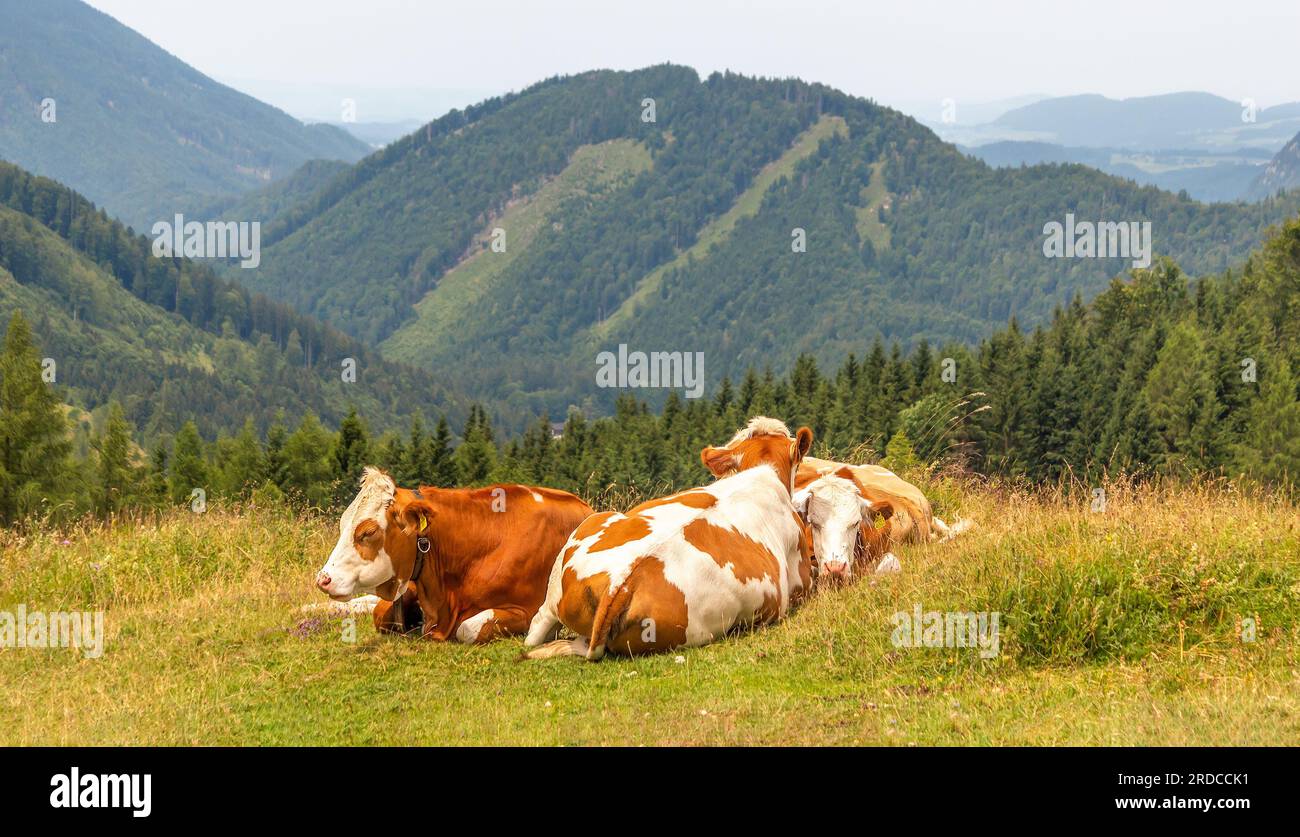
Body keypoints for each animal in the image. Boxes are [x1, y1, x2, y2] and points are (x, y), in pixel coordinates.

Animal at [314, 467, 594, 643]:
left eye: (368, 532)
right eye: (343, 523)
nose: (323, 579)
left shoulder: (526, 610)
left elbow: (468, 628)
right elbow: (380, 615)